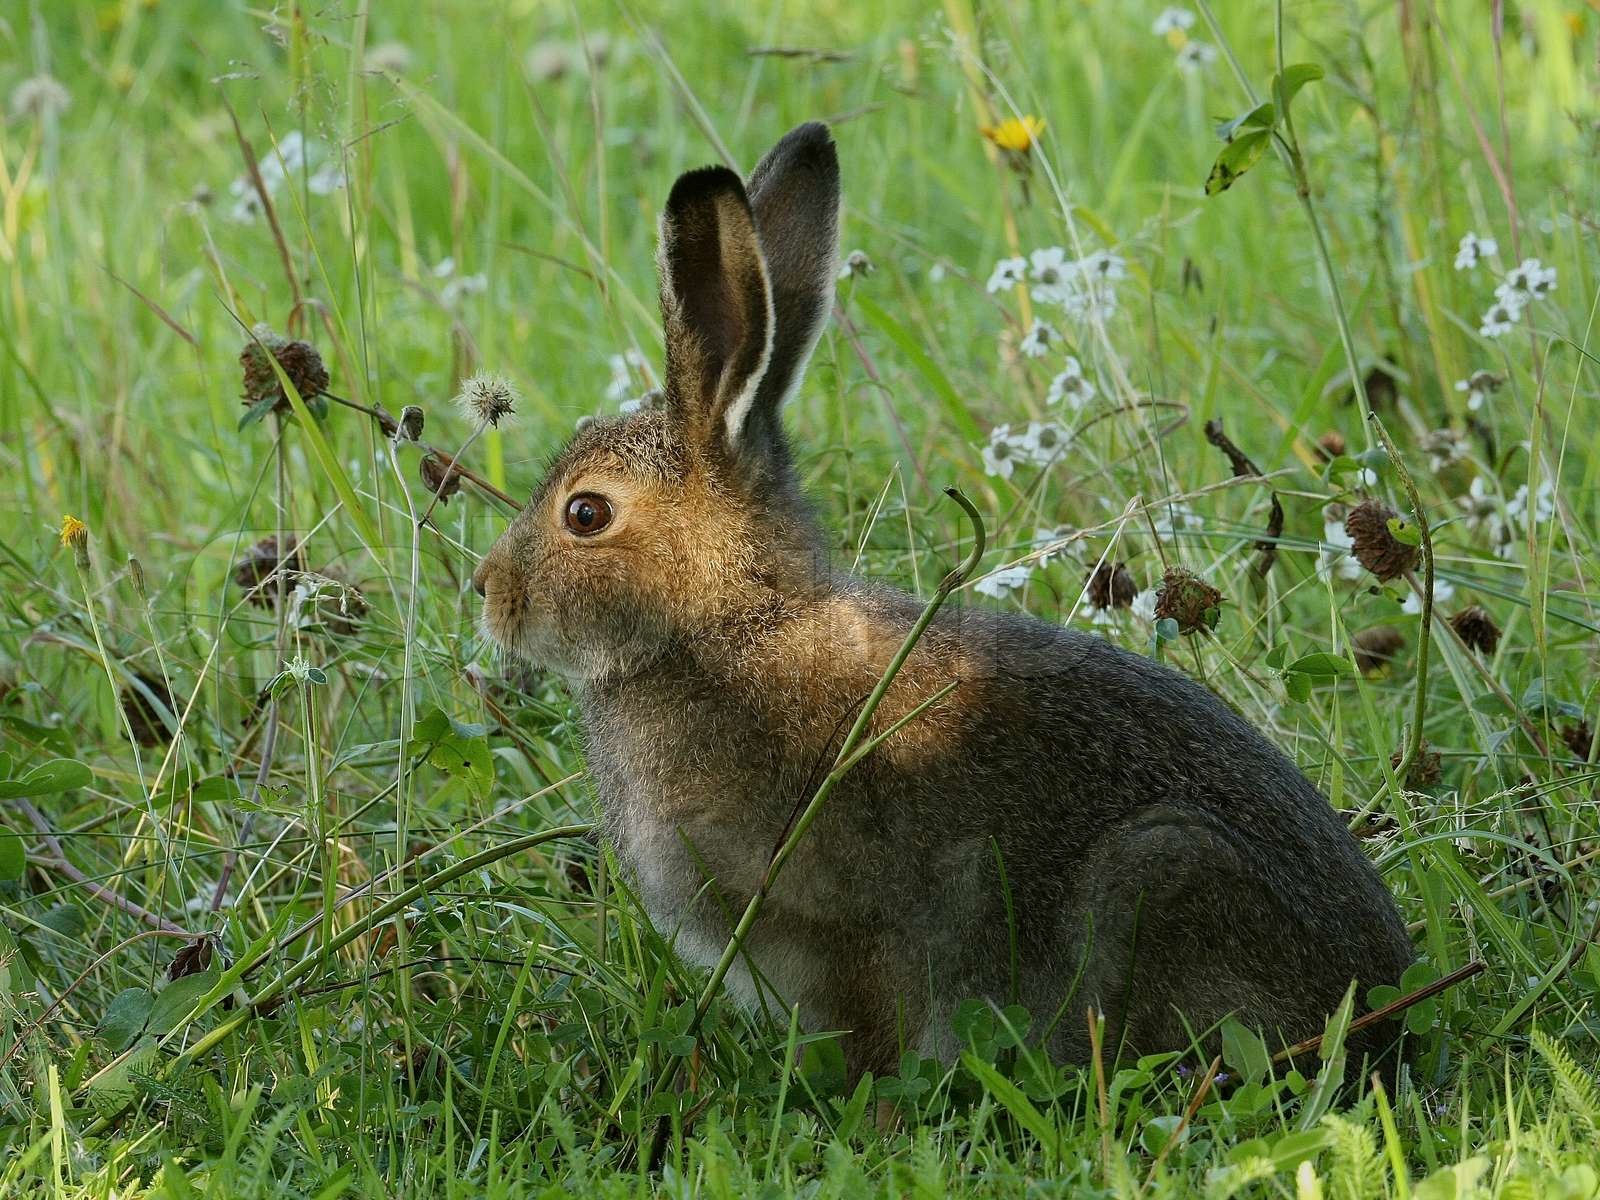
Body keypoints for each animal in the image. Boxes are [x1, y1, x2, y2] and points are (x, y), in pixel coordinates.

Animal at [473, 122, 1415, 1083]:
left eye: (586, 514)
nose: (488, 593)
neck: (727, 625)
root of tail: (1385, 1012)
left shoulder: (841, 931)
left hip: (1163, 874)